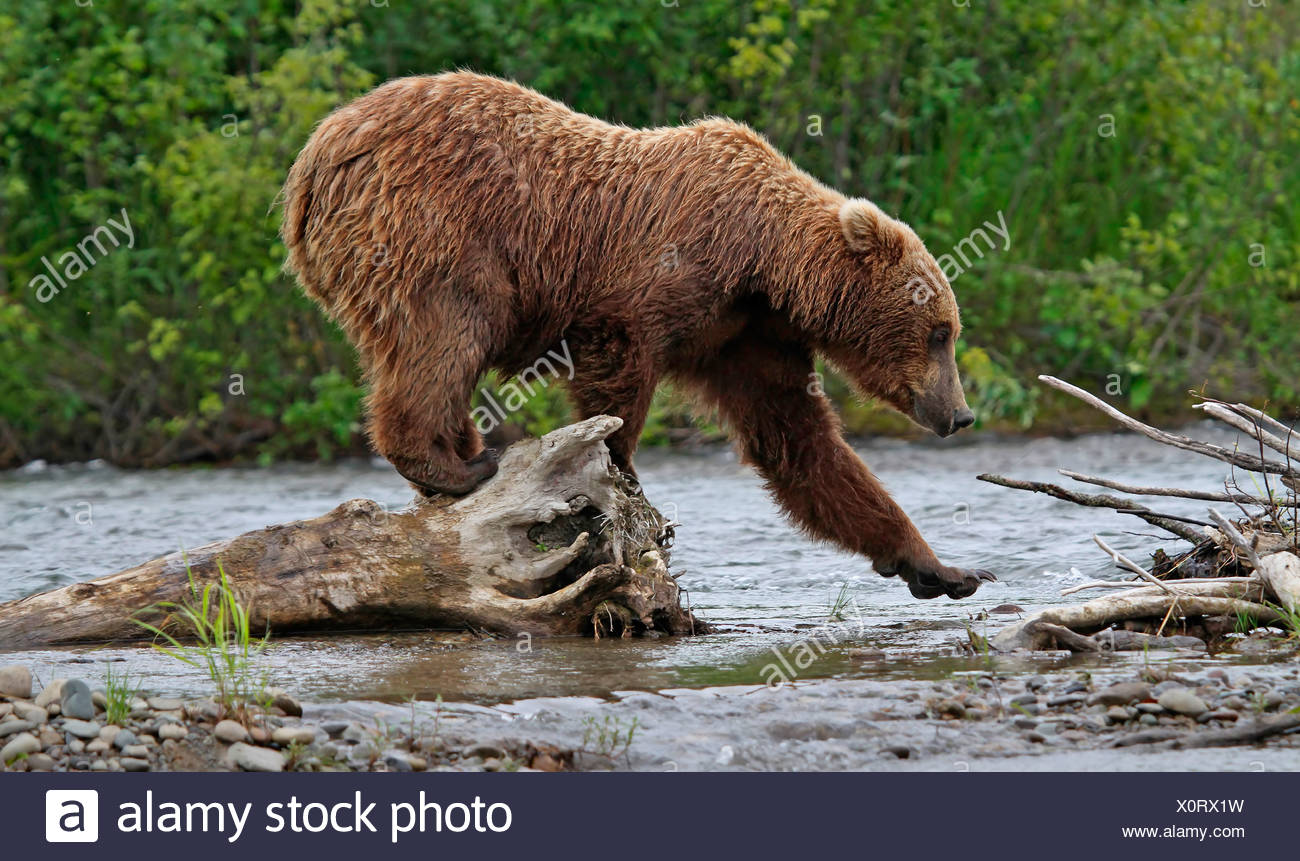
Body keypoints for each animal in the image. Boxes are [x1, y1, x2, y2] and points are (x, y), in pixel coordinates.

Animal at [280, 72, 994, 600]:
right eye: (940, 332)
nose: (960, 414)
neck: (762, 262)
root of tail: (315, 155)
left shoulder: (744, 334)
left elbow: (797, 439)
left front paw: (941, 567)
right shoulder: (653, 282)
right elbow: (615, 380)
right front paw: (621, 479)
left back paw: (462, 452)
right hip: (436, 229)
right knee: (443, 338)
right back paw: (456, 465)